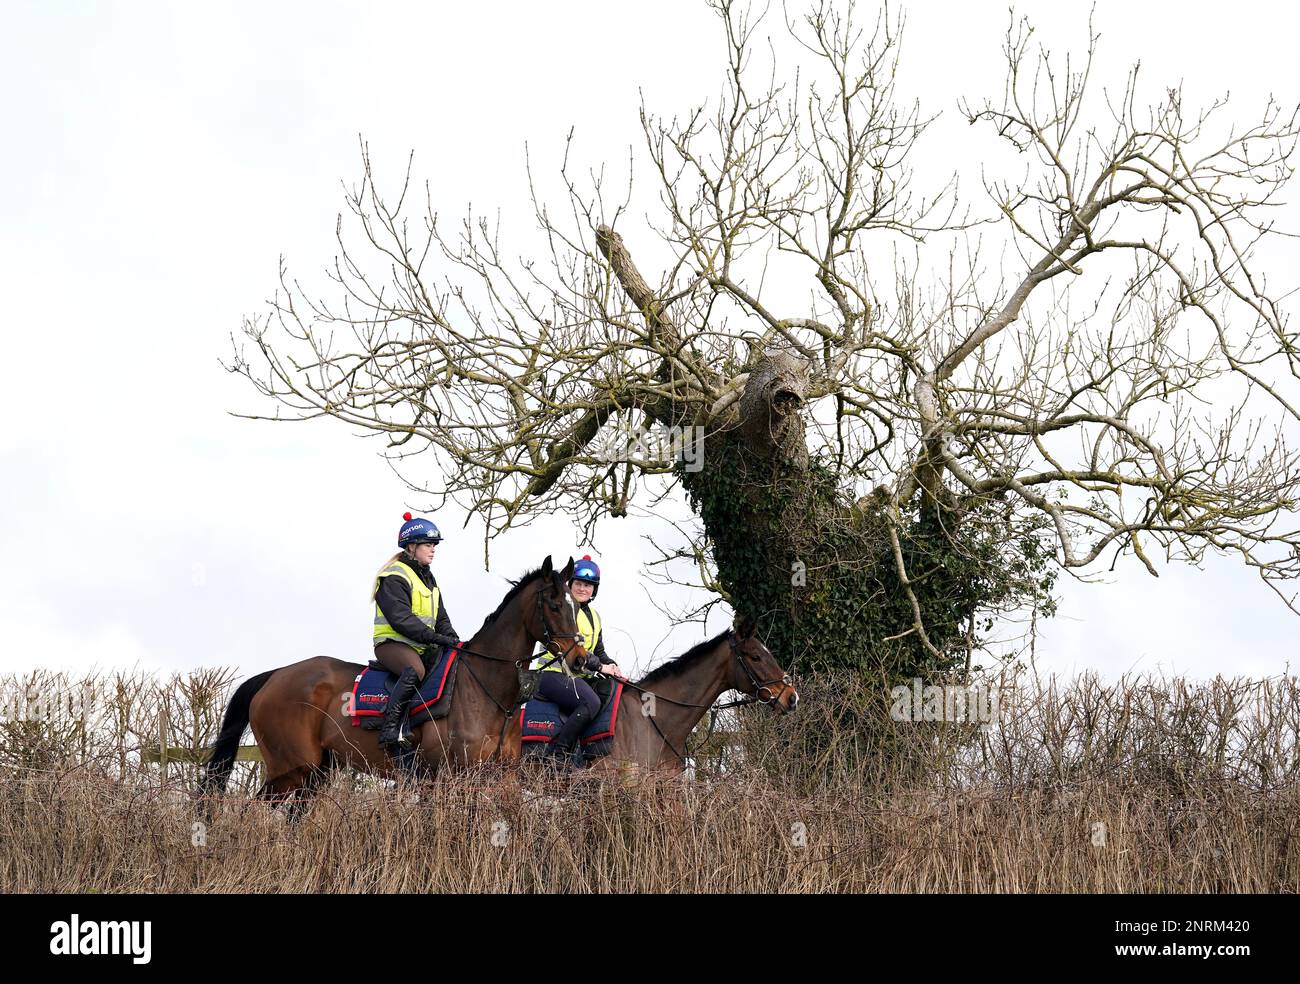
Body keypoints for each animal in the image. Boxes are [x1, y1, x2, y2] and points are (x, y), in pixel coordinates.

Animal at [199, 555, 586, 816]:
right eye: (555, 605)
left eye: (576, 606)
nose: (581, 658)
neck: (487, 690)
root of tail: (275, 675)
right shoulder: (442, 778)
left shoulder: (496, 779)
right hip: (291, 769)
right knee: (251, 810)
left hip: (316, 773)